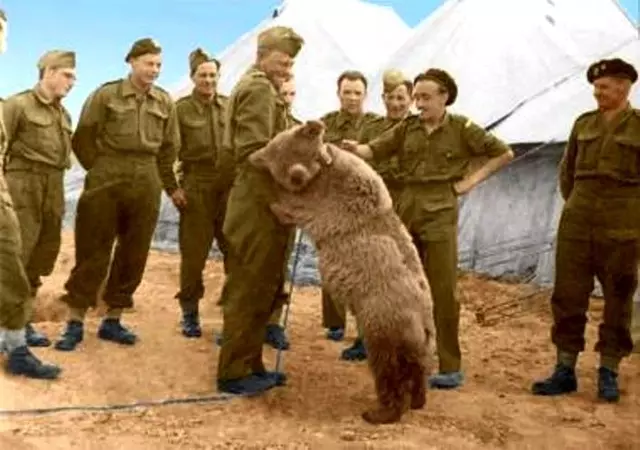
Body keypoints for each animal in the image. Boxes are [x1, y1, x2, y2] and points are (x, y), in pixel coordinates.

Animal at [248, 120, 438, 426]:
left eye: (290, 140)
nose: (298, 176)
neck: (322, 172)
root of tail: (424, 323)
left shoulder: (324, 201)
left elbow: (290, 204)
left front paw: (267, 186)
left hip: (384, 318)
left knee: (387, 366)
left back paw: (380, 411)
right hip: (416, 337)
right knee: (417, 367)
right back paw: (419, 399)